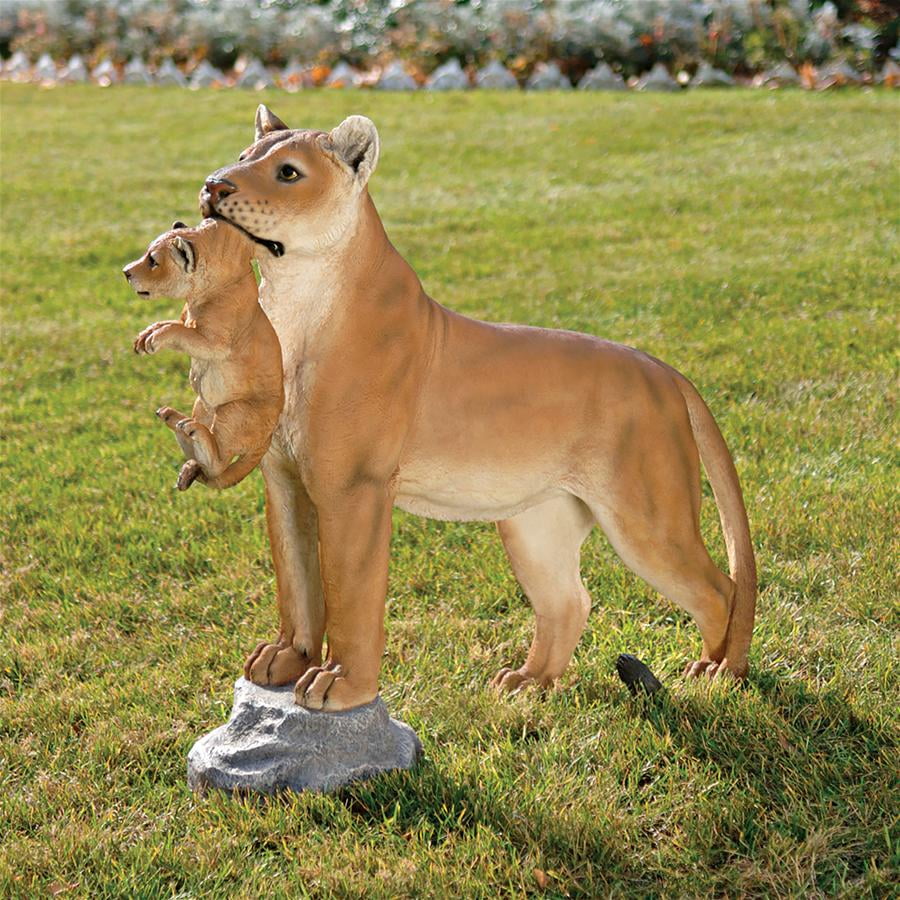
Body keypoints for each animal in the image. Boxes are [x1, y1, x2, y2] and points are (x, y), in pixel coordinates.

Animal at [124, 218, 283, 491]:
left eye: (153, 260)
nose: (125, 272)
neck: (198, 295)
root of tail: (267, 437)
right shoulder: (186, 318)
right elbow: (171, 323)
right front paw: (146, 335)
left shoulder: (215, 342)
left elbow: (181, 332)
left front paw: (154, 339)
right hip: (203, 404)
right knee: (206, 464)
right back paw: (177, 428)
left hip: (233, 412)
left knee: (219, 460)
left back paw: (189, 429)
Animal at [197, 106, 756, 711]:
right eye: (244, 157)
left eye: (289, 173)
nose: (213, 185)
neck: (293, 300)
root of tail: (665, 371)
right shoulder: (285, 480)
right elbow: (297, 582)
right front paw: (284, 660)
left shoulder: (354, 488)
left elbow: (350, 593)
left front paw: (341, 685)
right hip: (537, 523)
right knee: (568, 602)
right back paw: (527, 683)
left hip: (647, 516)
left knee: (718, 589)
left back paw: (717, 674)